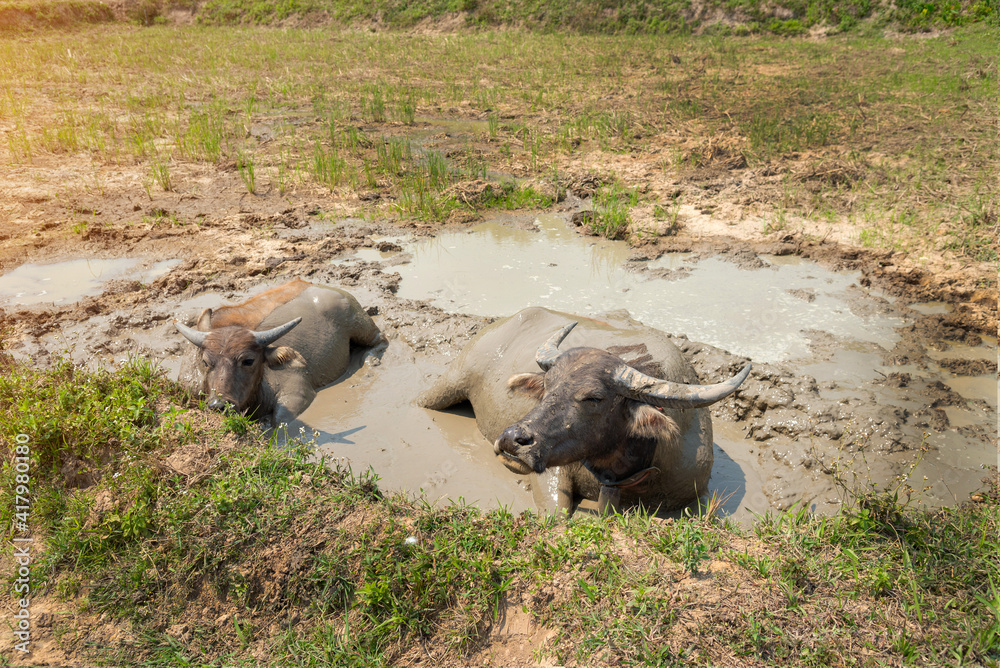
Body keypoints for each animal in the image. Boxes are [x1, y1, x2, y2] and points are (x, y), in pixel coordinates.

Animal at [175, 279, 382, 425]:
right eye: (205, 362)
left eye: (248, 360)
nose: (219, 405)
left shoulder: (297, 391)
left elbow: (280, 421)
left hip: (362, 327)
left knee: (380, 339)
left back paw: (370, 361)